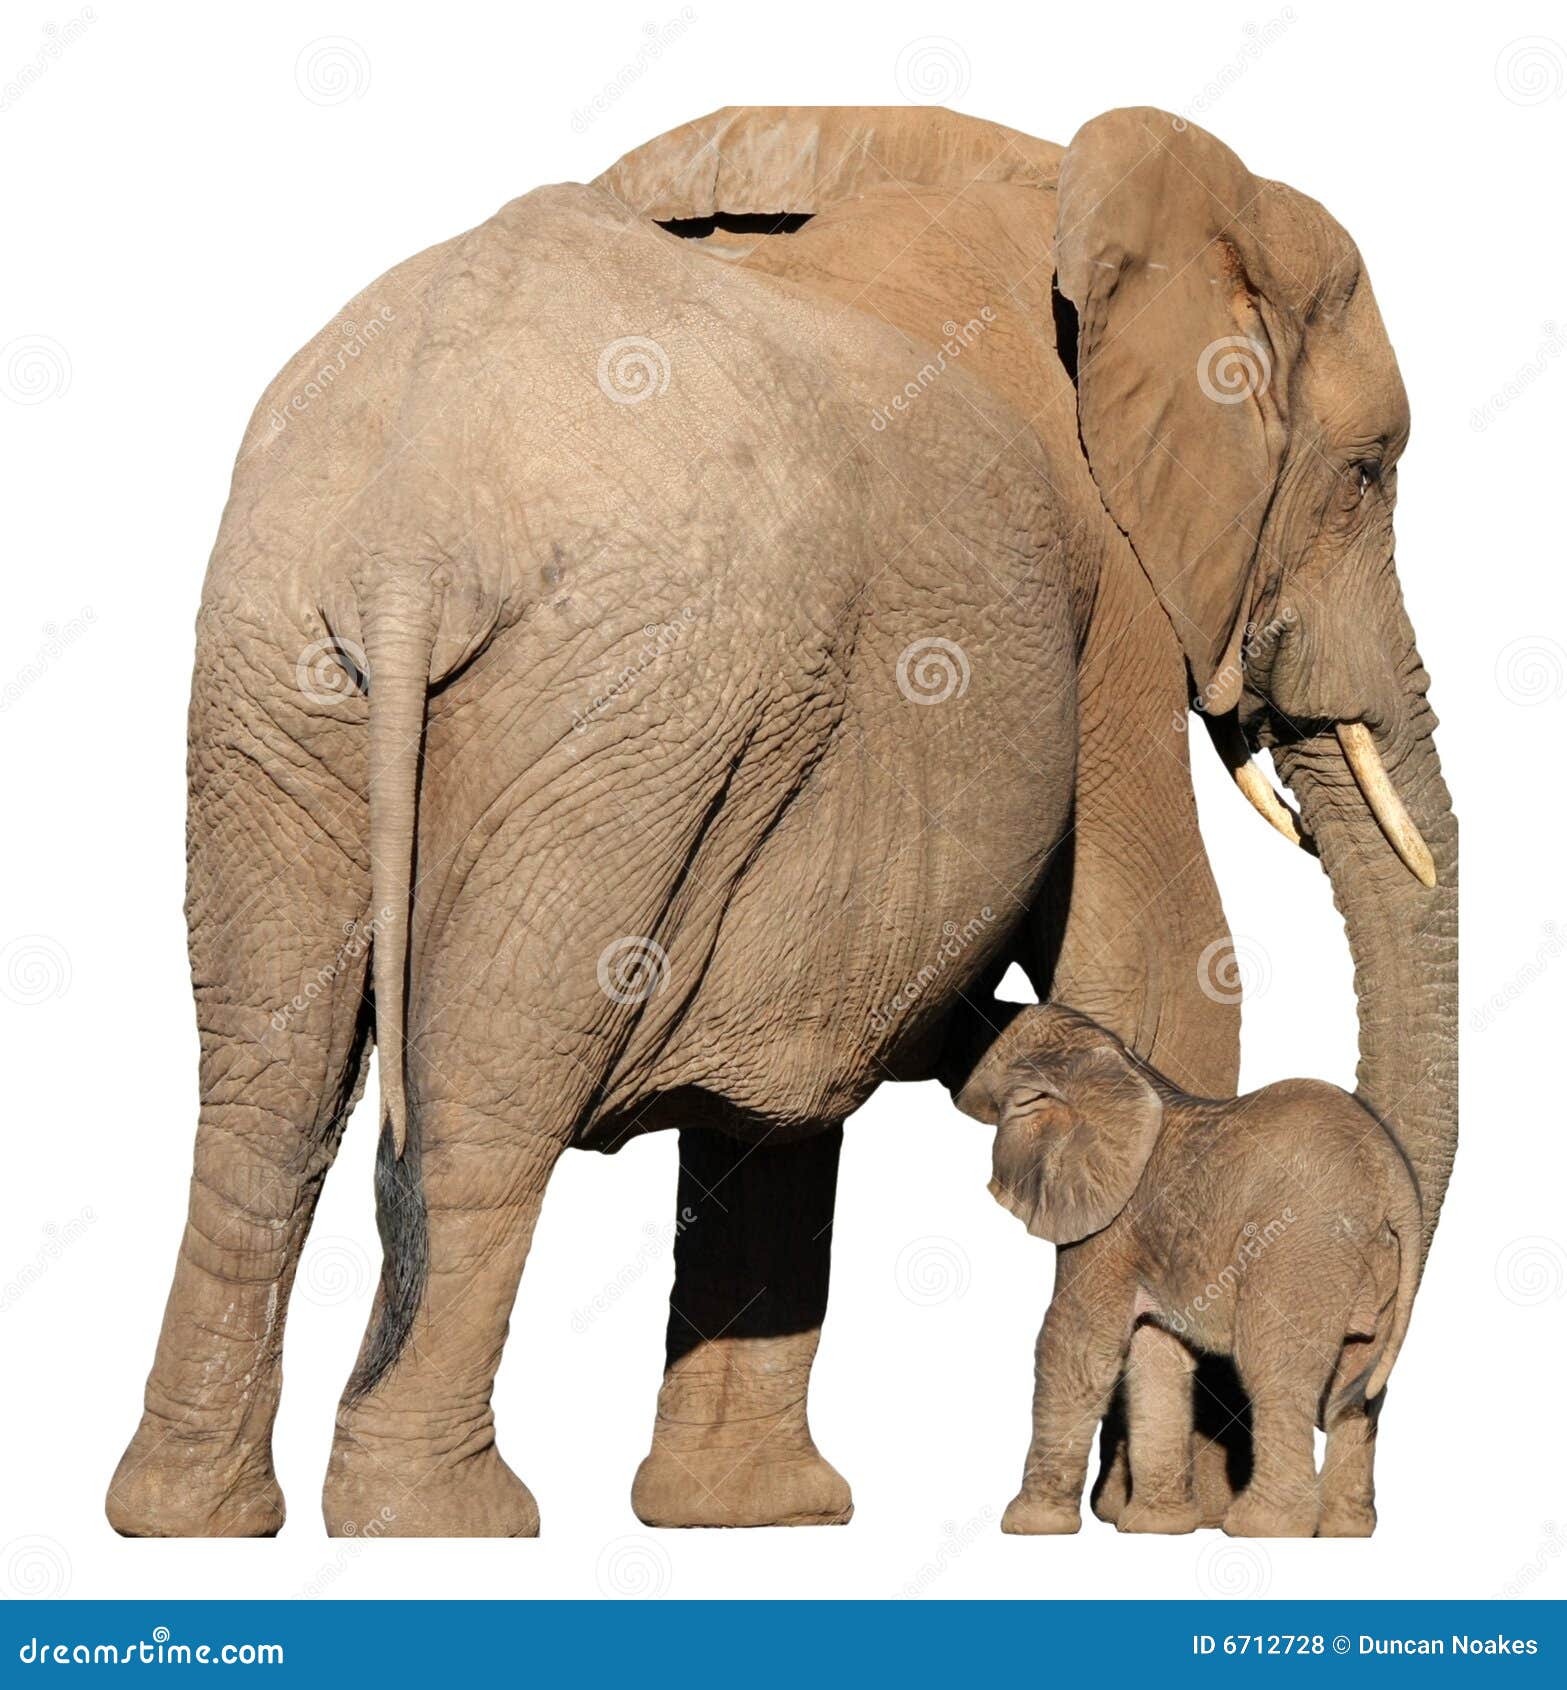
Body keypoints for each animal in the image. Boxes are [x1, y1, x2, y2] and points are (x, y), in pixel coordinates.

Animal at [956, 1003, 1420, 1537]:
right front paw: (1156, 1527)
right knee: (1360, 1389)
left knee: (1275, 1373)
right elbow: (1156, 1355)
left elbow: (1077, 1347)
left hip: (1299, 1248)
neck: (1124, 1068)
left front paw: (1027, 1526)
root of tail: (1394, 1182)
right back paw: (1345, 1531)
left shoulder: (1112, 1225)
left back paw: (1259, 1527)